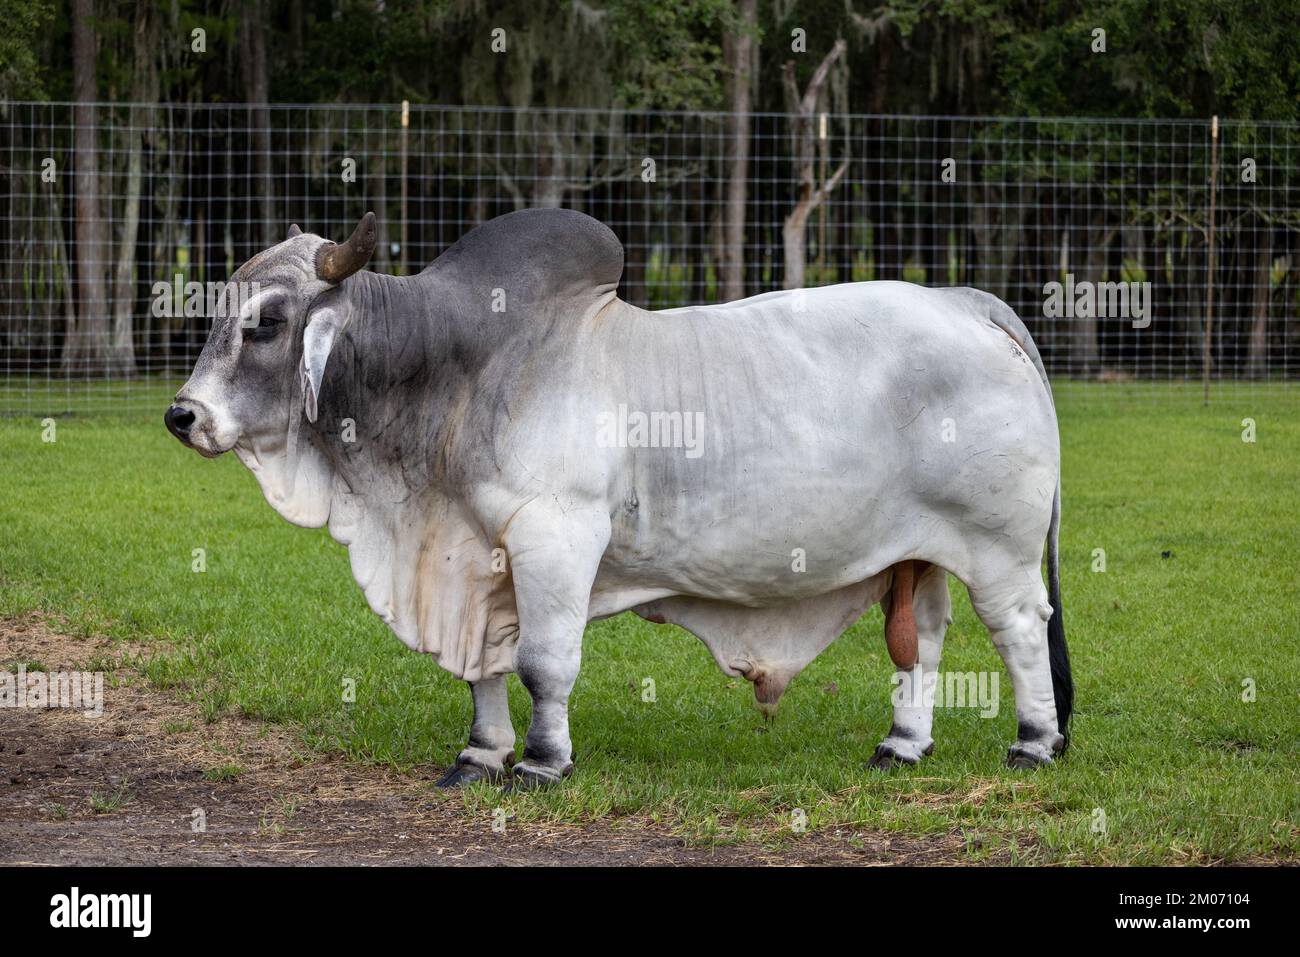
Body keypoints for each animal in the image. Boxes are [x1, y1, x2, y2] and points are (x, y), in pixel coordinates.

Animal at [165, 208, 1073, 790]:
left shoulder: (555, 538)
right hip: (921, 552)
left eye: (266, 321)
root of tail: (965, 301)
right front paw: (479, 755)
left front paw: (541, 762)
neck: (458, 371)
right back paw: (902, 745)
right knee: (925, 640)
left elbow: (544, 661)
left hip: (999, 545)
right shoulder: (480, 557)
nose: (184, 415)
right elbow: (485, 666)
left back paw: (1033, 743)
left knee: (1019, 629)